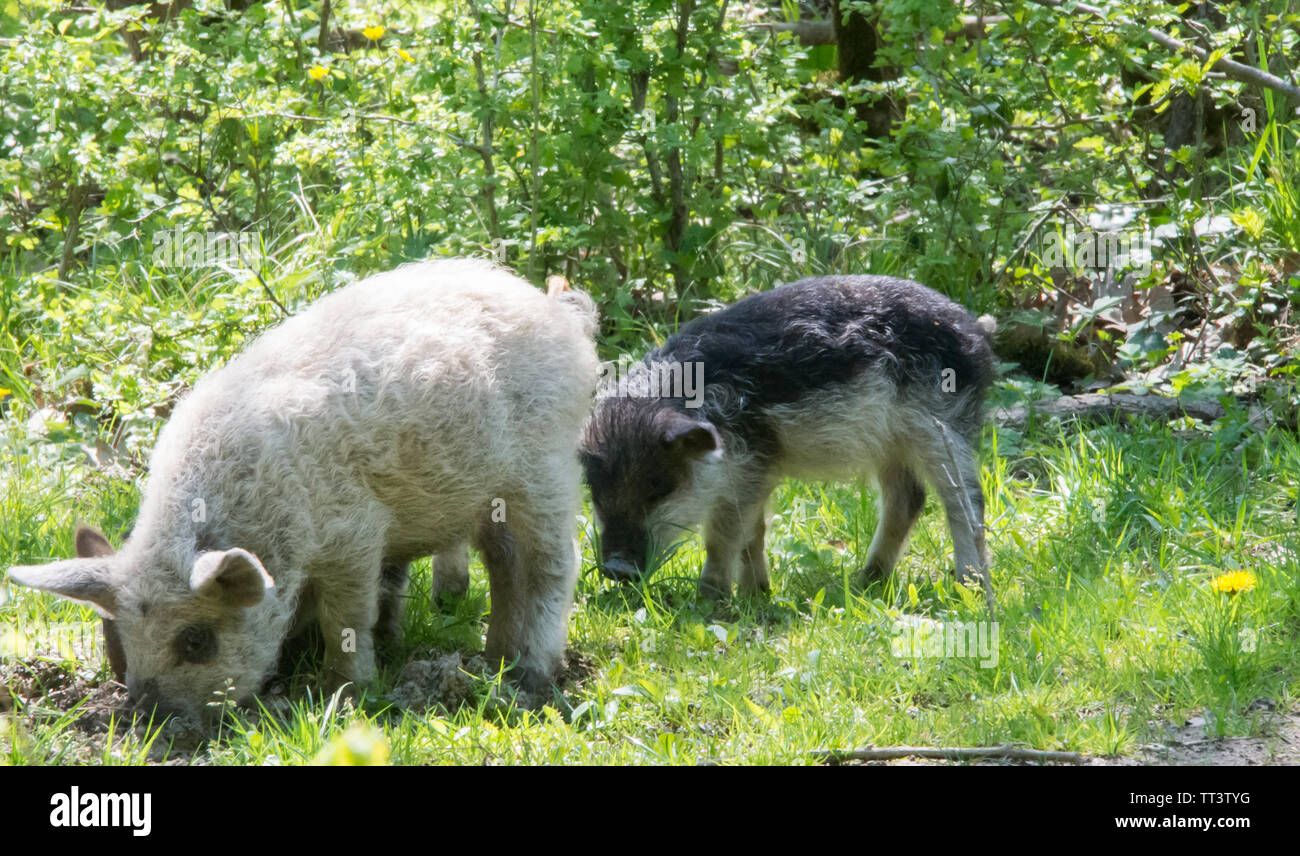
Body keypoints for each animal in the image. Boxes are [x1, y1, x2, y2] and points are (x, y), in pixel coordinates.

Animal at [6, 258, 598, 720]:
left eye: (196, 640)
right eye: (124, 637)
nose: (149, 719)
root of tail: (559, 317)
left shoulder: (356, 533)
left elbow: (350, 616)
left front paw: (347, 691)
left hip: (546, 467)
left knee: (554, 561)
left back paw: (532, 677)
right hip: (489, 496)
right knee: (503, 561)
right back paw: (495, 660)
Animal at [580, 274, 995, 600]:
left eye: (659, 487)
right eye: (594, 488)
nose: (616, 569)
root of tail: (978, 329)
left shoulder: (748, 462)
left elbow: (724, 534)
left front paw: (709, 599)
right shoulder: (757, 466)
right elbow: (753, 531)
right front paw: (756, 595)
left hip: (941, 424)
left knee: (965, 498)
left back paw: (969, 586)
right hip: (892, 443)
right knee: (907, 497)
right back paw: (866, 581)